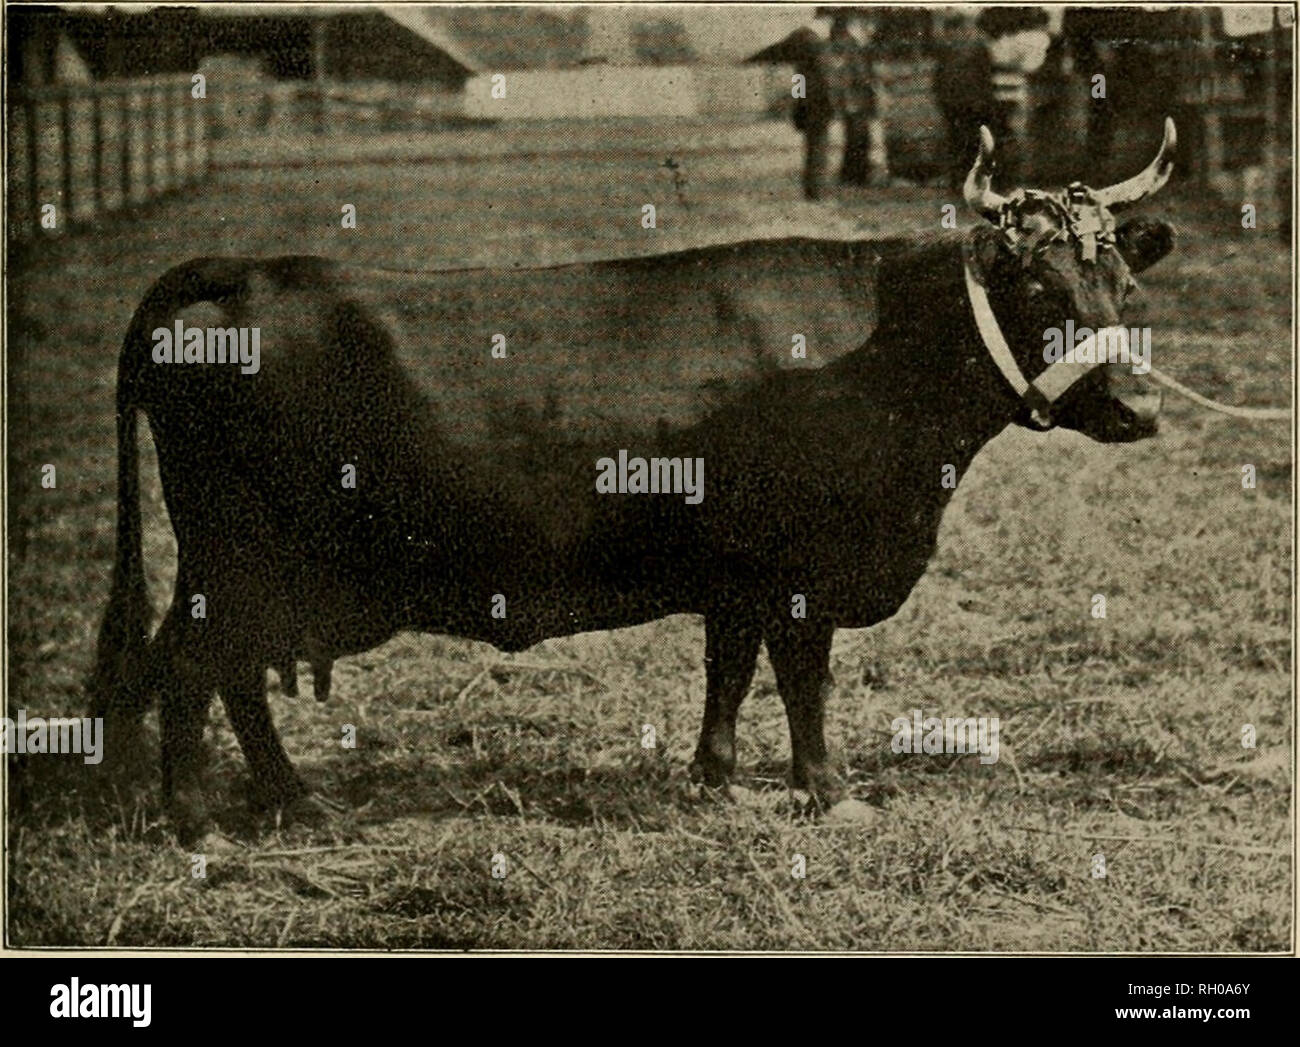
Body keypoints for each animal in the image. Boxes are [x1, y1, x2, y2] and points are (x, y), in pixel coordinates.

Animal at [90, 122, 1178, 843]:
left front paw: (713, 777)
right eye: (1036, 286)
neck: (883, 345)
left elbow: (727, 669)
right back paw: (201, 820)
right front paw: (827, 792)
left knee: (218, 671)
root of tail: (248, 270)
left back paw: (292, 800)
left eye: (1124, 284)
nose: (1138, 406)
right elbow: (804, 681)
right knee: (192, 668)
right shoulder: (802, 572)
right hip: (239, 559)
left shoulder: (738, 572)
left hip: (243, 565)